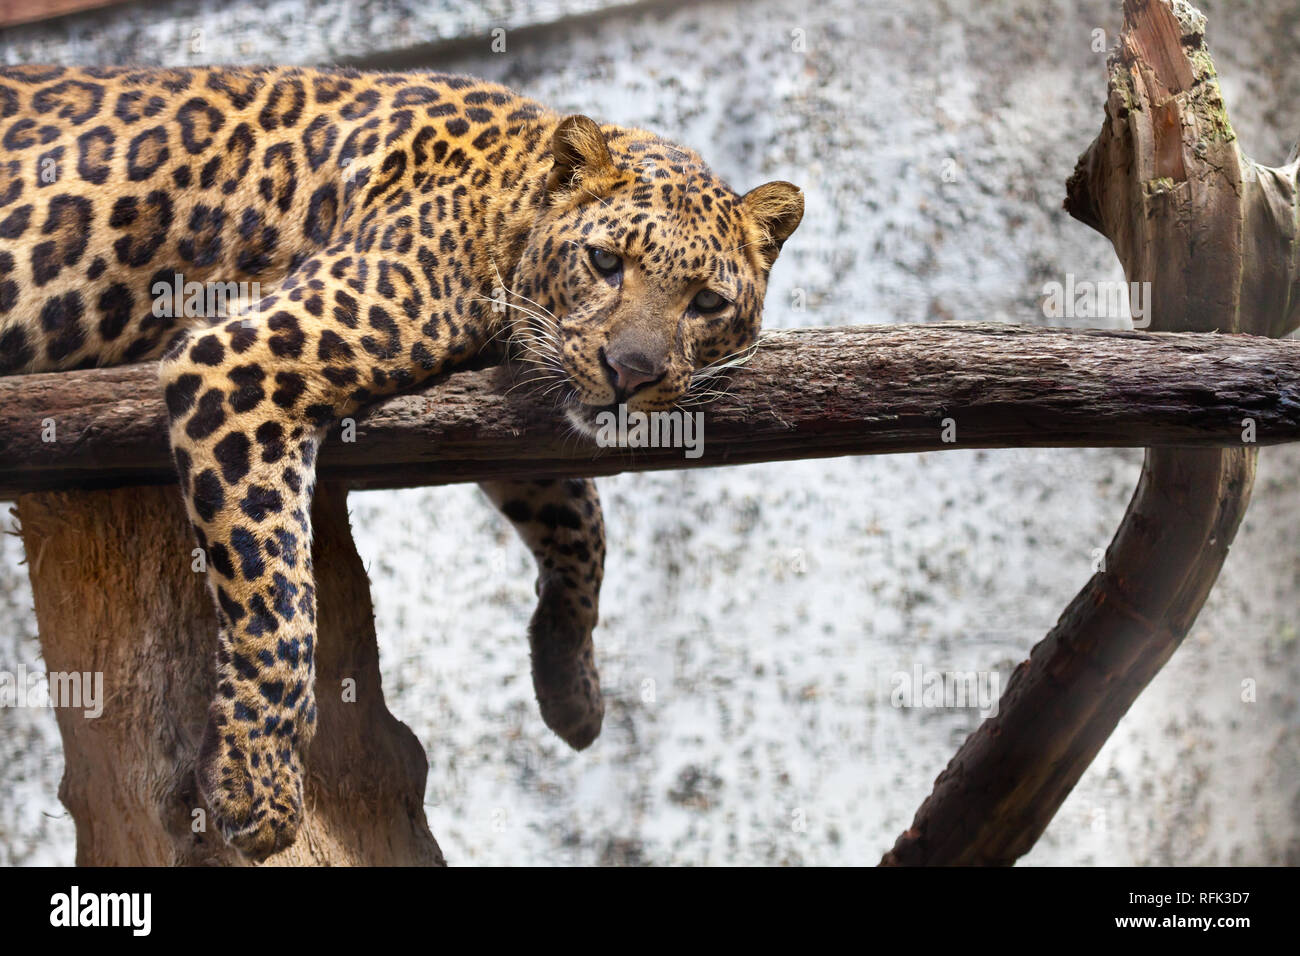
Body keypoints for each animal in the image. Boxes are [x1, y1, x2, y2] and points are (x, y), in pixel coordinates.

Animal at [0, 64, 803, 861]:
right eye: (606, 262)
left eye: (706, 302)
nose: (631, 372)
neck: (509, 199)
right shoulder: (241, 365)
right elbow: (275, 591)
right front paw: (254, 782)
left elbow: (581, 519)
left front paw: (571, 685)